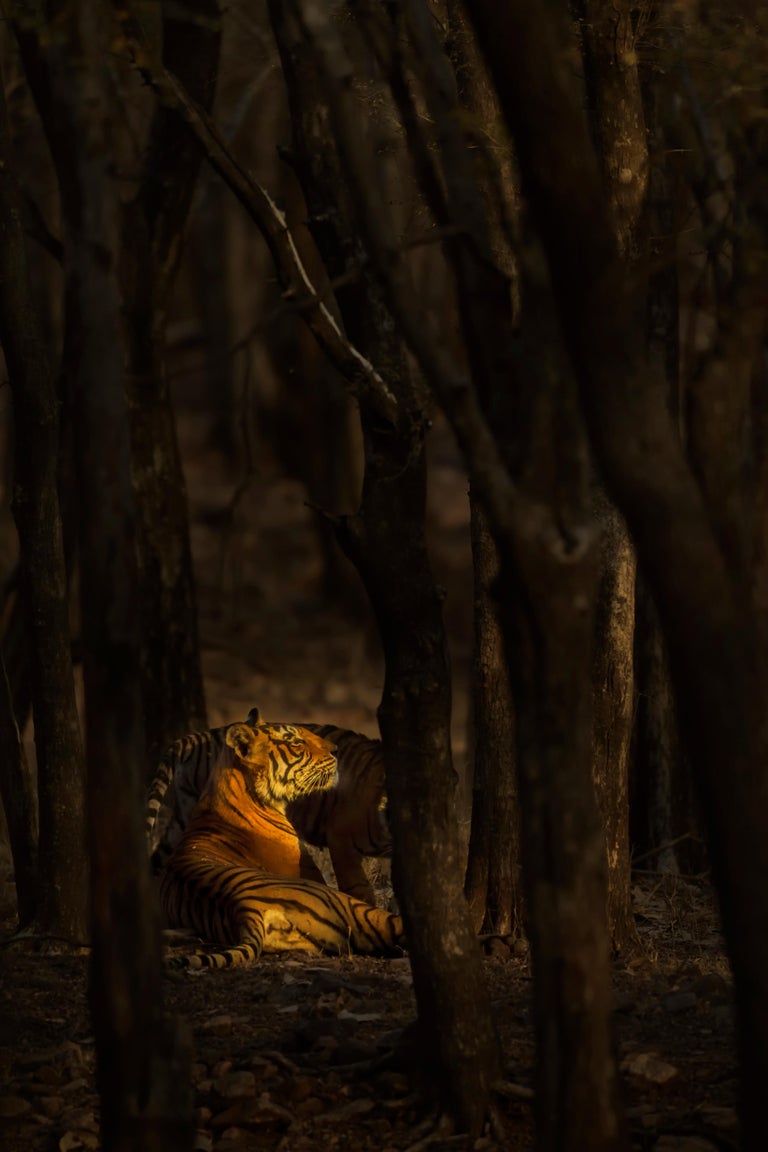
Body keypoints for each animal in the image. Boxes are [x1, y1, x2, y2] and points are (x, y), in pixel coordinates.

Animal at [147, 707, 390, 905]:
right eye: (297, 742)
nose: (336, 750)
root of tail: (193, 738)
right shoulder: (341, 840)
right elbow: (359, 889)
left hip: (183, 818)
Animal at [160, 720, 403, 969]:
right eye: (295, 741)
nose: (336, 750)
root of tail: (244, 910)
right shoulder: (339, 843)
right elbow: (361, 886)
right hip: (341, 902)